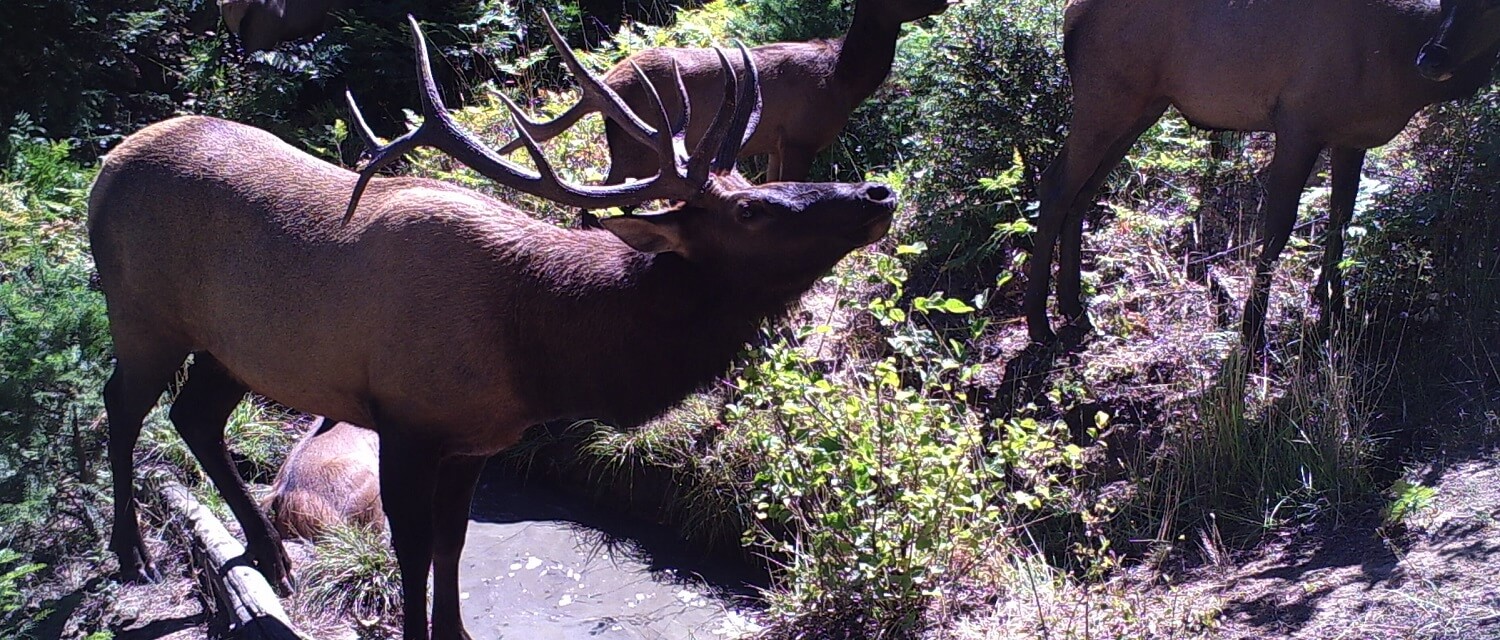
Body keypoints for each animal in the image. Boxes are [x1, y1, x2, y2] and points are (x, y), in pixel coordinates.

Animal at [89, 13, 895, 640]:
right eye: (750, 210)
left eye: (755, 186)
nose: (877, 192)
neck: (535, 348)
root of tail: (108, 164)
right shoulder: (405, 422)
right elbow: (413, 549)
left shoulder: (475, 439)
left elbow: (453, 543)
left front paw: (458, 629)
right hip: (141, 312)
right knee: (121, 405)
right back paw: (134, 555)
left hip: (232, 347)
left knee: (195, 416)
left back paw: (271, 558)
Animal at [1023, 0, 1500, 353]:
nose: (1431, 57)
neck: (1396, 66)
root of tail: (1070, 16)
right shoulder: (1298, 120)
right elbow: (1278, 226)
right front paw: (1253, 332)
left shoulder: (1350, 137)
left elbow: (1341, 218)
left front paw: (1333, 306)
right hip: (1106, 96)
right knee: (1056, 184)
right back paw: (1040, 324)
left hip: (1141, 106)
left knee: (1083, 191)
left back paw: (1074, 308)